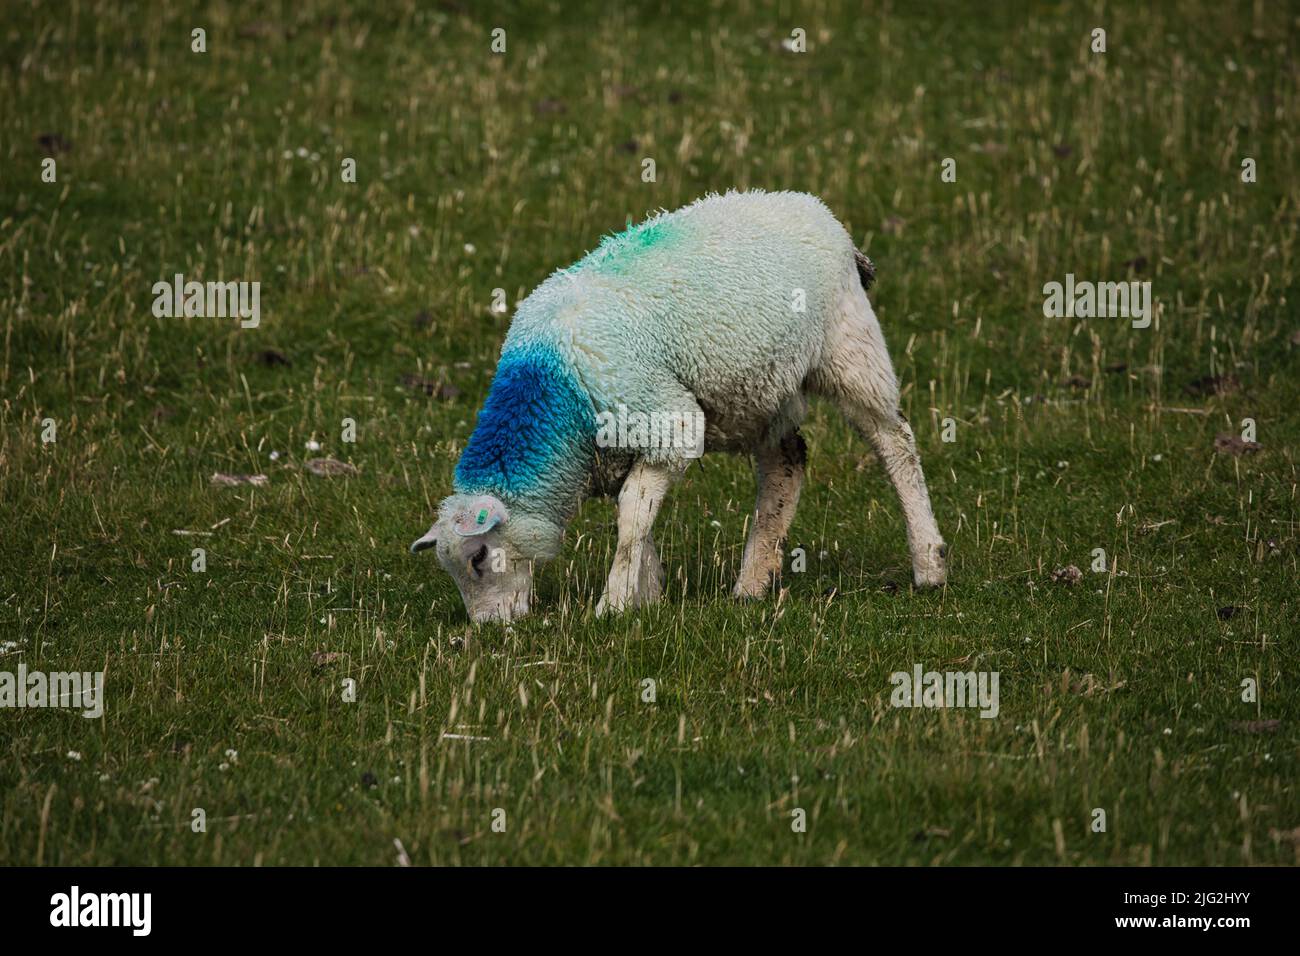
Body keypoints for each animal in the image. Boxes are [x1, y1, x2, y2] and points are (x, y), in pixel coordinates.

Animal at [410, 189, 947, 622]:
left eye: (479, 558)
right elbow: (639, 519)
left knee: (894, 440)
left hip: (849, 346)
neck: (551, 388)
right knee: (786, 463)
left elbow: (632, 516)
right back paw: (752, 583)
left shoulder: (667, 421)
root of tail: (817, 210)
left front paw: (614, 604)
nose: (489, 628)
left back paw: (930, 563)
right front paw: (644, 593)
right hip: (758, 390)